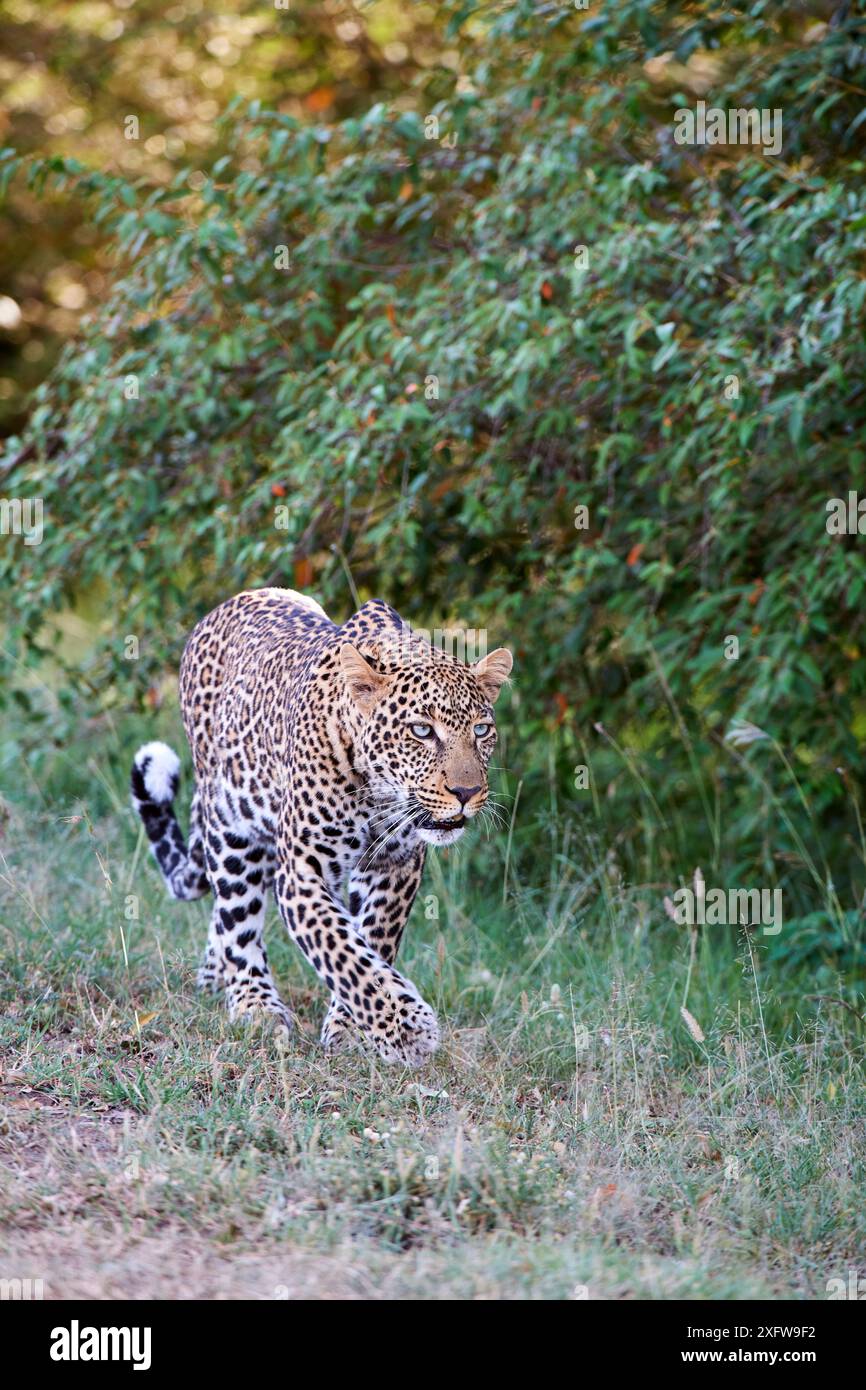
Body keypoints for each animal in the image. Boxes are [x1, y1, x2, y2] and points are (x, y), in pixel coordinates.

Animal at [130, 587, 512, 1065]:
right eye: (422, 731)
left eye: (481, 730)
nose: (466, 791)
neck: (379, 794)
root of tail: (233, 601)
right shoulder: (301, 871)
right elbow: (340, 949)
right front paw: (408, 1030)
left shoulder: (396, 866)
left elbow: (372, 941)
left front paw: (354, 1028)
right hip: (232, 826)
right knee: (237, 915)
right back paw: (253, 1003)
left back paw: (214, 977)